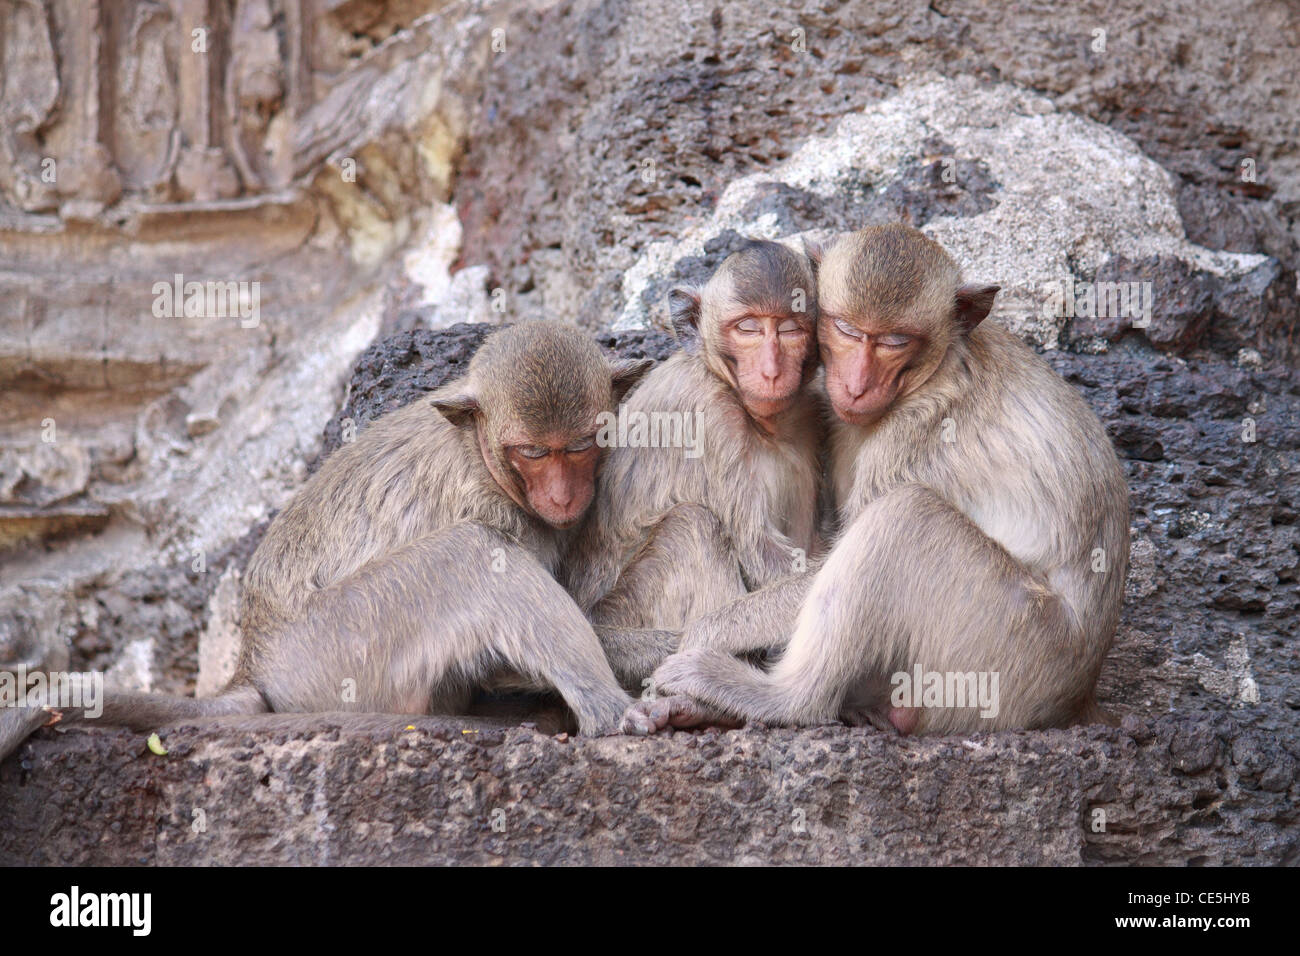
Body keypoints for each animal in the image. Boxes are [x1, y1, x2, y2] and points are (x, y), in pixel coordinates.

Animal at [0, 323, 652, 764]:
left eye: (581, 446)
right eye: (533, 453)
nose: (563, 497)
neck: (480, 450)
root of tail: (253, 664)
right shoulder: (494, 508)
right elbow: (495, 593)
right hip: (335, 653)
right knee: (470, 554)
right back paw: (608, 713)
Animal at [560, 239, 829, 686]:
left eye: (791, 330)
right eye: (748, 328)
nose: (771, 371)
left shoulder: (811, 412)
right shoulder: (708, 416)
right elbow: (764, 556)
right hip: (627, 613)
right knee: (693, 526)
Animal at [623, 223, 1129, 736]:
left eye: (895, 341)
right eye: (846, 329)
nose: (858, 384)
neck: (933, 371)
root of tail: (1076, 696)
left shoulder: (918, 431)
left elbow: (824, 564)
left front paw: (698, 635)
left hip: (1009, 653)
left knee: (904, 516)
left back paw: (775, 697)